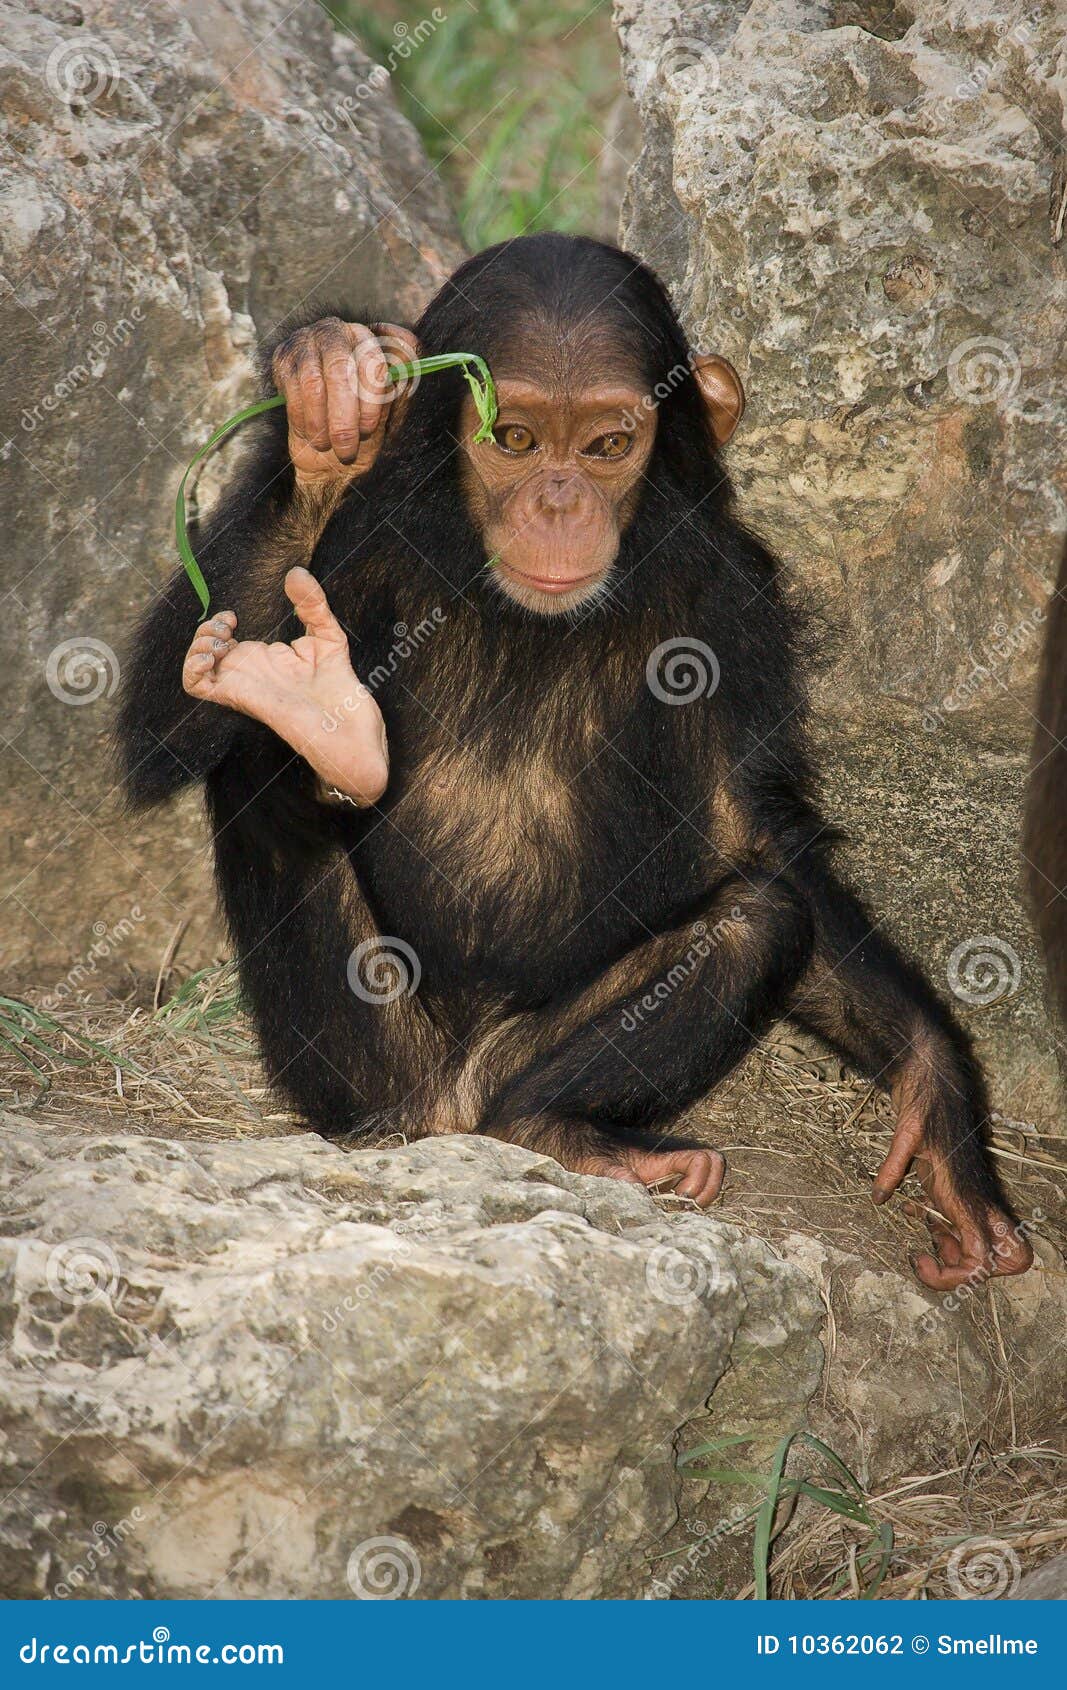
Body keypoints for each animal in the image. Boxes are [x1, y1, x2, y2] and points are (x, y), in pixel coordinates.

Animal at [117, 233, 1032, 1292]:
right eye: (513, 439)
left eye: (603, 447)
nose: (560, 501)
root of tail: (448, 1110)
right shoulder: (364, 538)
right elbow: (168, 716)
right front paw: (329, 403)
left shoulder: (731, 597)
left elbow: (749, 826)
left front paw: (936, 1091)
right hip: (361, 1064)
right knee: (252, 767)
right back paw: (314, 729)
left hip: (523, 1053)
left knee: (756, 920)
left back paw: (558, 1130)